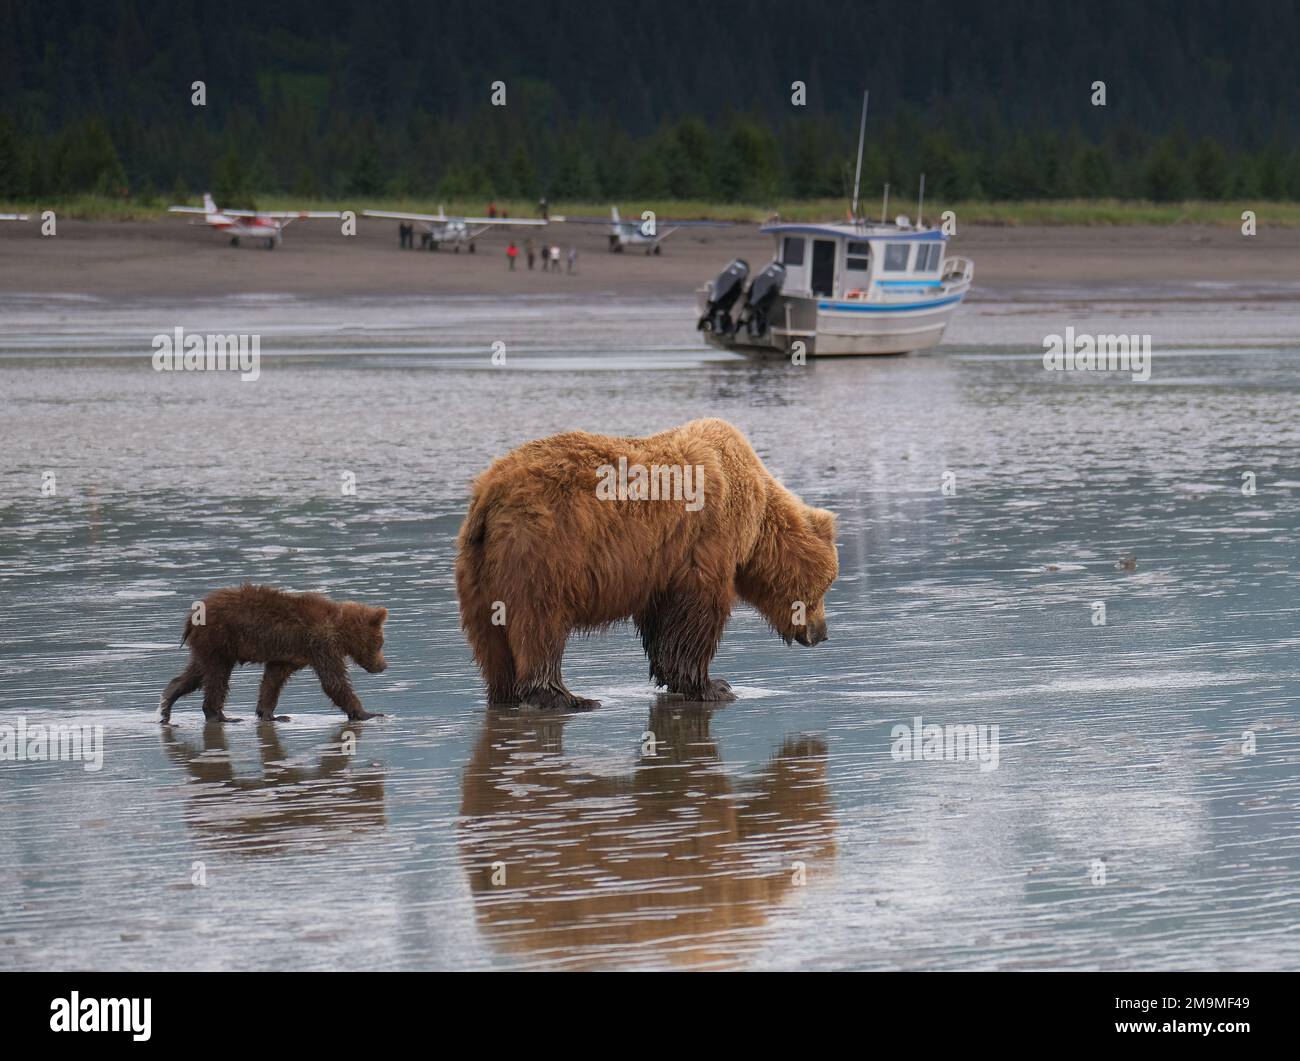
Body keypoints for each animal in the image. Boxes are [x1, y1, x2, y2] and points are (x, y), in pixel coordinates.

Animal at [159, 584, 388, 723]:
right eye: (380, 642)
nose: (383, 665)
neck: (339, 630)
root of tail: (191, 617)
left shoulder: (290, 655)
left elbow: (272, 680)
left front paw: (270, 714)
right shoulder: (320, 645)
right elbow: (334, 682)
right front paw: (369, 713)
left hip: (210, 647)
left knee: (197, 673)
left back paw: (168, 703)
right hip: (220, 641)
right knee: (216, 677)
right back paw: (221, 716)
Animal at [455, 418, 838, 710]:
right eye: (826, 586)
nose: (821, 633)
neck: (756, 525)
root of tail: (491, 491)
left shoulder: (660, 566)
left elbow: (663, 623)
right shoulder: (705, 541)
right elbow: (697, 614)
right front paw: (715, 685)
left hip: (478, 567)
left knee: (491, 639)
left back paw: (505, 694)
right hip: (543, 549)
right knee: (540, 622)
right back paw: (566, 696)